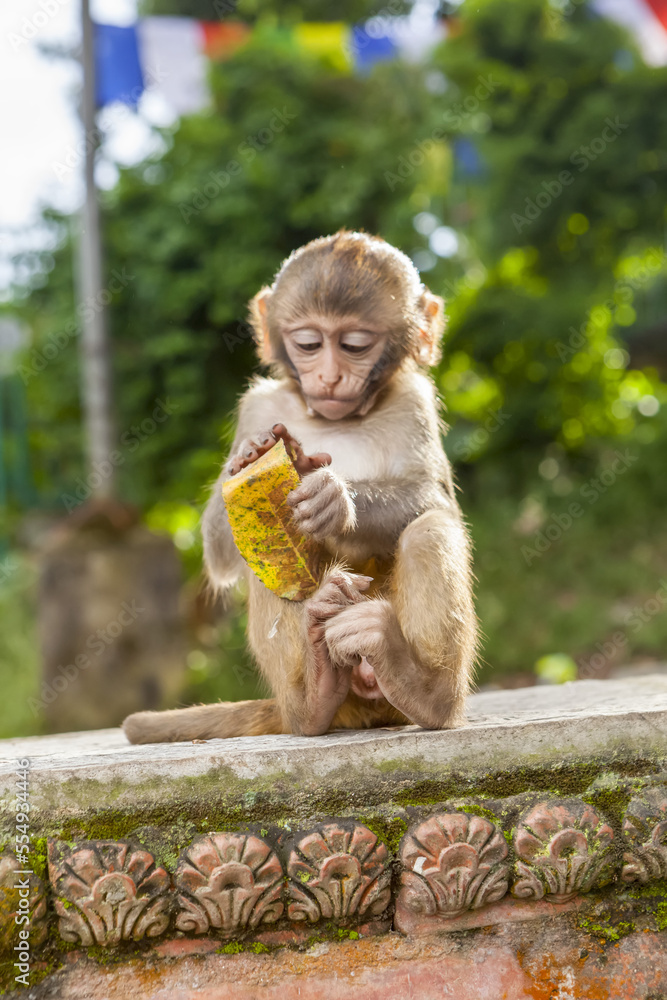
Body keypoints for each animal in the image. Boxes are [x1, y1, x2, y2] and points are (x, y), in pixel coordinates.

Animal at [123, 230, 477, 744]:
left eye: (354, 345)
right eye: (308, 343)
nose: (328, 376)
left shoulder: (413, 399)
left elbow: (434, 496)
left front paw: (334, 497)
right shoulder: (258, 405)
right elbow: (220, 550)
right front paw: (252, 454)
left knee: (430, 529)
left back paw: (424, 689)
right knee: (263, 562)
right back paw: (313, 697)